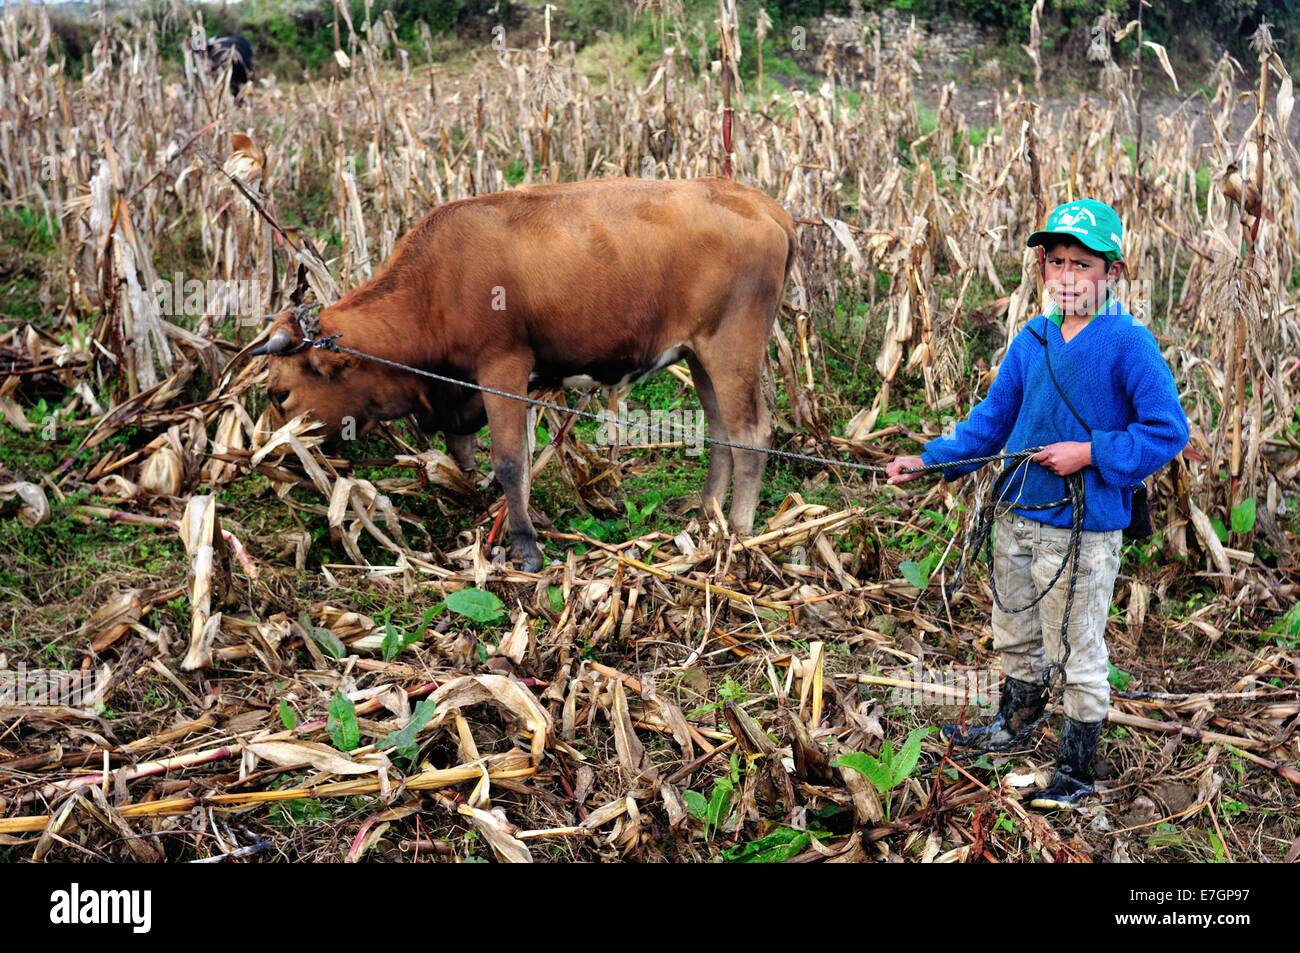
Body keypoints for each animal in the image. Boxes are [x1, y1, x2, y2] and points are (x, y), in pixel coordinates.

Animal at [254, 176, 797, 572]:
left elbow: (511, 460)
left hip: (733, 346)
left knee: (751, 434)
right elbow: (472, 458)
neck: (434, 288)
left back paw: (741, 532)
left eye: (280, 394)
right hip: (699, 354)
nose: (271, 458)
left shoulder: (503, 368)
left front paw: (525, 548)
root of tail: (760, 203)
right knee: (721, 431)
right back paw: (707, 517)